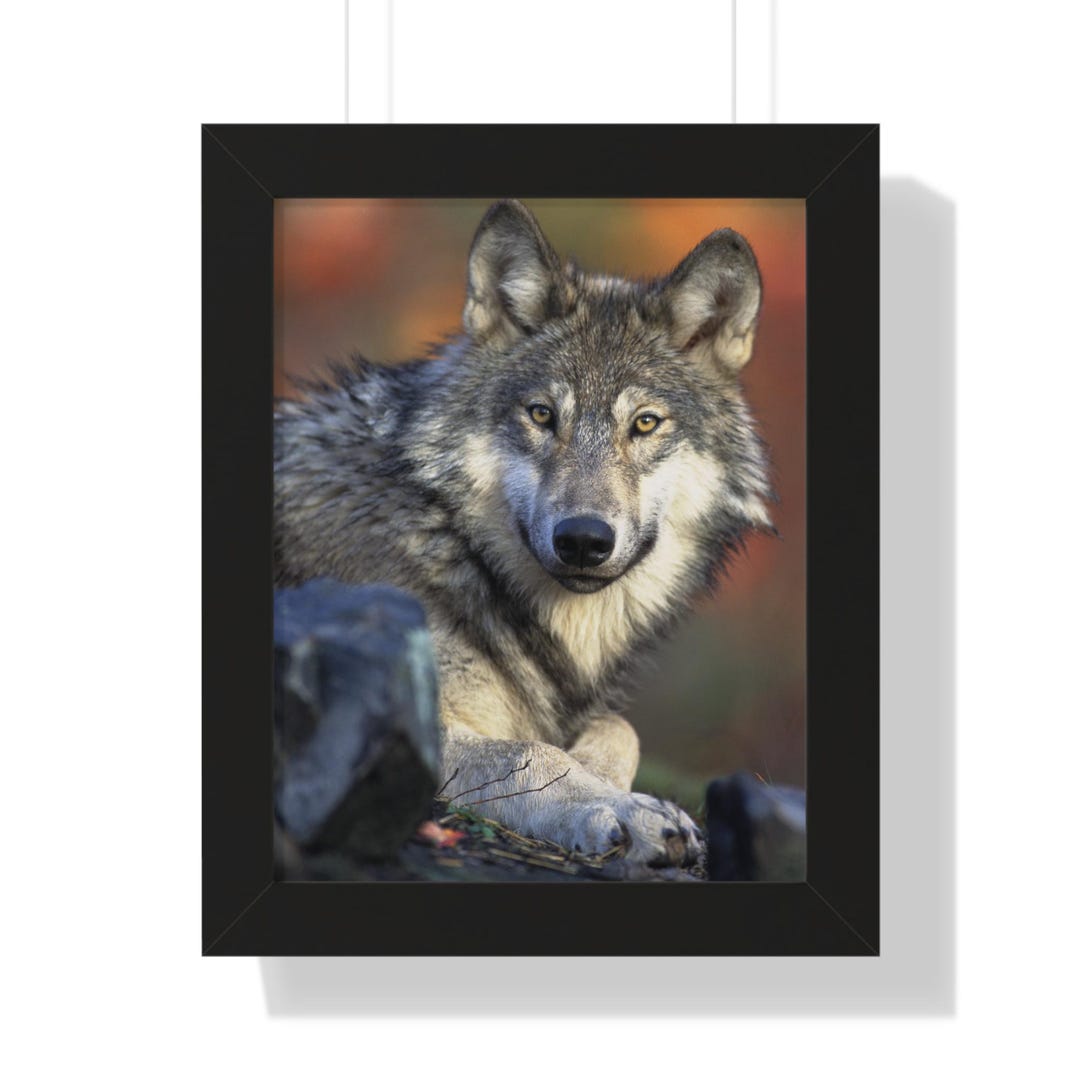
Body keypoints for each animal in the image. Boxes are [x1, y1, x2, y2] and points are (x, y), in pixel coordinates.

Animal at [274, 200, 773, 870]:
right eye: (542, 415)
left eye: (645, 424)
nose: (583, 539)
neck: (451, 543)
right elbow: (531, 753)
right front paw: (620, 808)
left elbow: (619, 728)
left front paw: (610, 785)